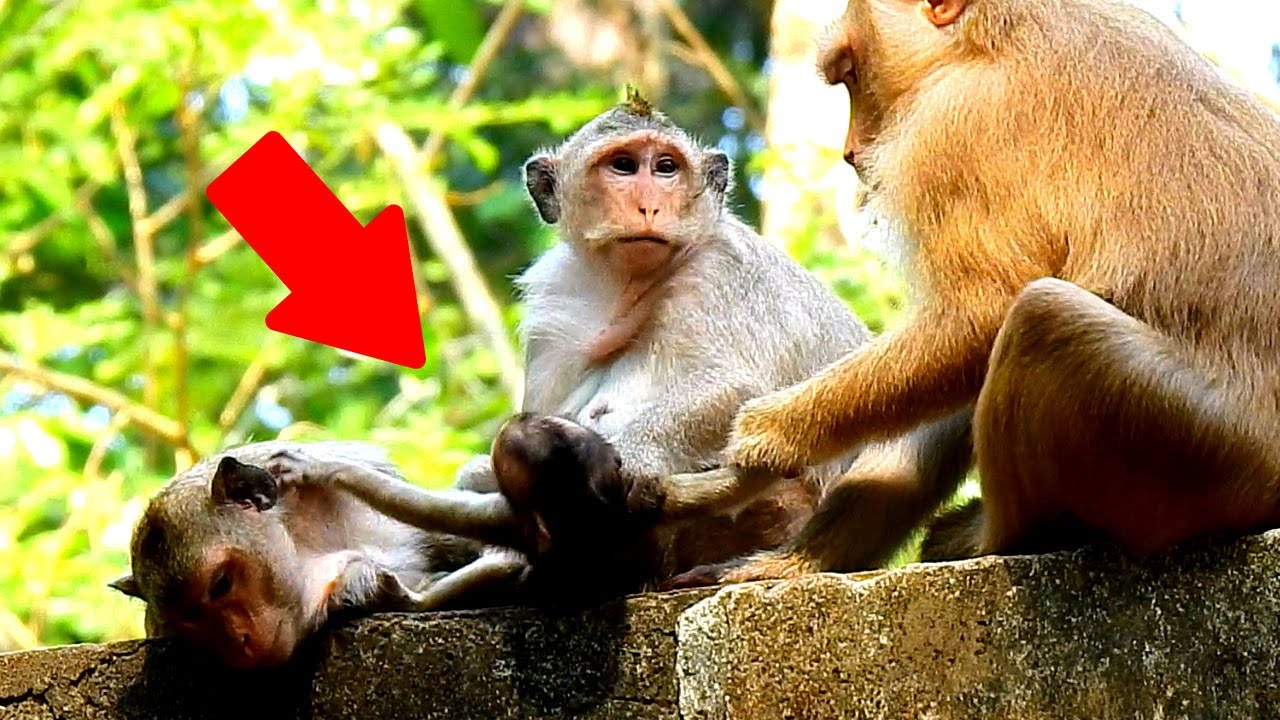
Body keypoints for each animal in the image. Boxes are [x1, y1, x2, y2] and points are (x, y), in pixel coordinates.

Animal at [660, 0, 1280, 585]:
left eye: (852, 75)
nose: (851, 151)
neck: (983, 39)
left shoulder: (946, 132)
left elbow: (981, 314)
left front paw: (769, 440)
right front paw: (802, 554)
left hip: (1203, 449)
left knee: (1042, 316)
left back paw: (998, 537)